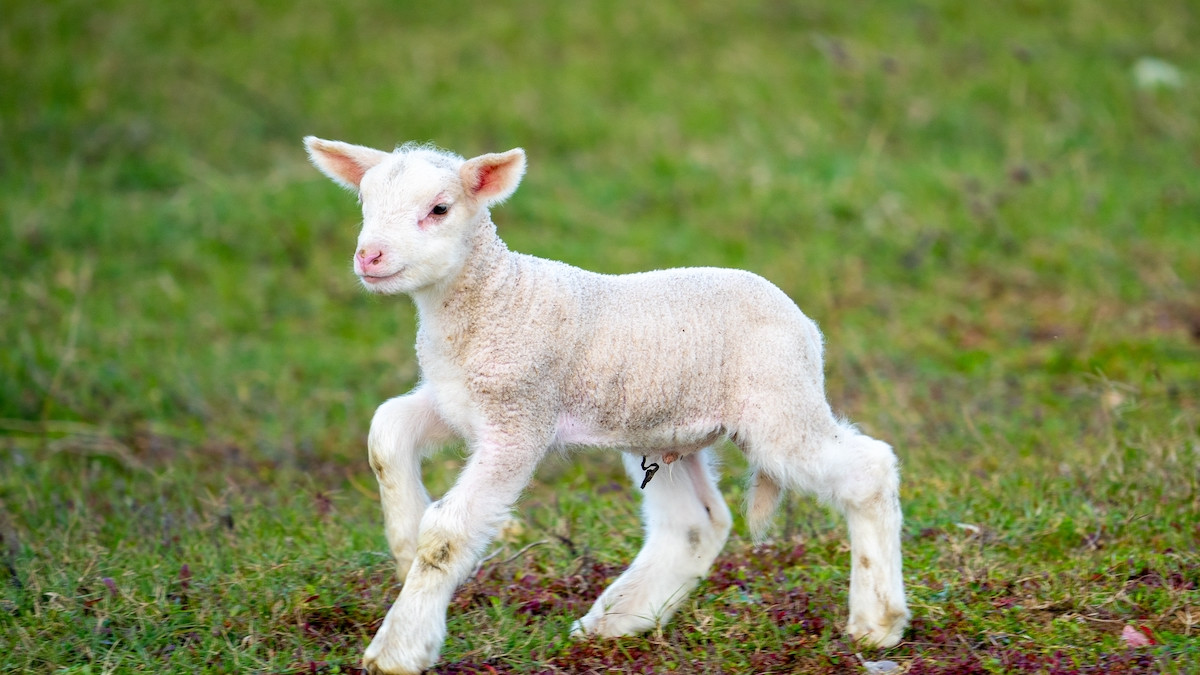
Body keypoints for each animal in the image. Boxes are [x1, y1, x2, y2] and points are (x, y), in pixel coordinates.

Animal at [303, 136, 909, 675]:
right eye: (364, 204)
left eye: (439, 208)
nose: (369, 256)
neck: (495, 298)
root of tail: (805, 324)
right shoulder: (459, 402)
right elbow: (386, 431)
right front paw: (404, 546)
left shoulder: (520, 415)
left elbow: (448, 533)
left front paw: (398, 650)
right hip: (663, 430)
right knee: (696, 524)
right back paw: (616, 622)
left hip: (779, 405)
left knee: (869, 468)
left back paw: (877, 623)